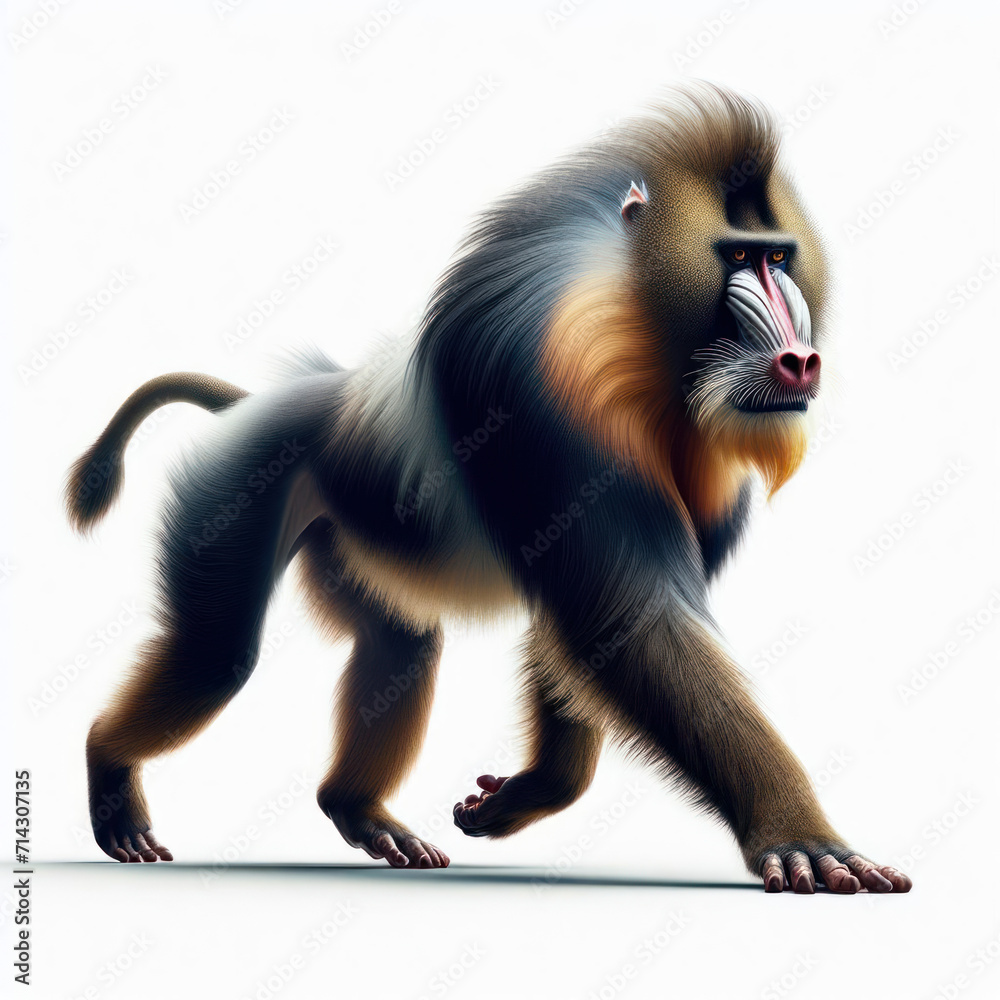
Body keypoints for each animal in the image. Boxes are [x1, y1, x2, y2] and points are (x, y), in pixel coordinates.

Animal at [66, 83, 911, 893]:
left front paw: (524, 795)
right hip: (236, 490)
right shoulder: (543, 393)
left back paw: (361, 813)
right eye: (737, 258)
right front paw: (803, 841)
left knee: (400, 647)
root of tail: (272, 399)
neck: (643, 333)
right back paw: (111, 776)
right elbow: (631, 617)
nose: (799, 361)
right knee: (216, 657)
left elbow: (580, 632)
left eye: (781, 261)